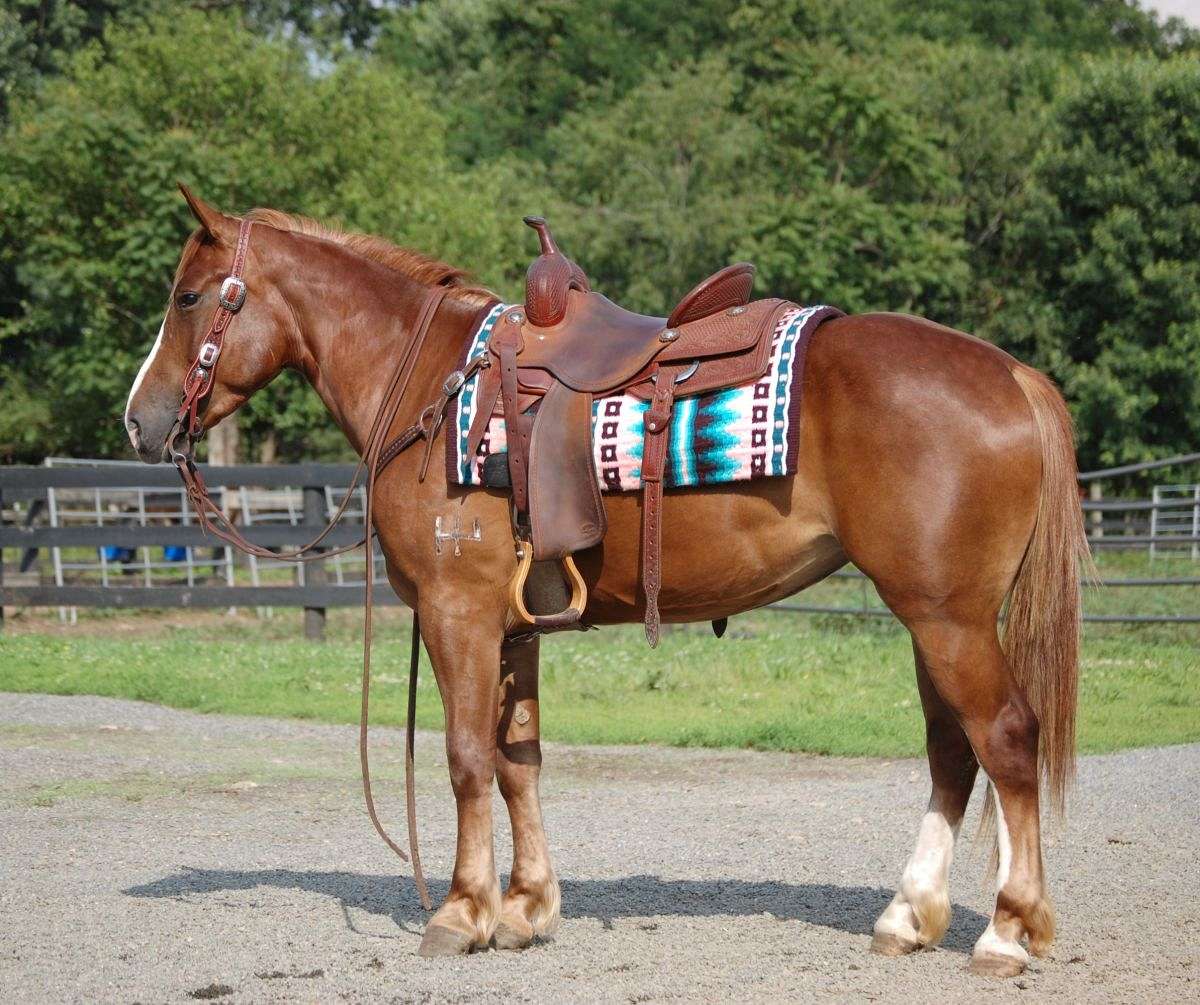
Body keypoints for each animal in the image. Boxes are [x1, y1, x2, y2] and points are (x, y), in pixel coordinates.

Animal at [124, 187, 1090, 976]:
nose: (138, 419)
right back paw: (909, 915)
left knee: (1005, 738)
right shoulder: (512, 625)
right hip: (934, 616)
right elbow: (517, 759)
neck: (433, 382)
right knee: (951, 751)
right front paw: (525, 907)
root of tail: (1011, 373)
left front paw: (461, 911)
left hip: (947, 617)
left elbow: (466, 757)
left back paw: (1007, 928)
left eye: (186, 297)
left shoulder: (458, 613)